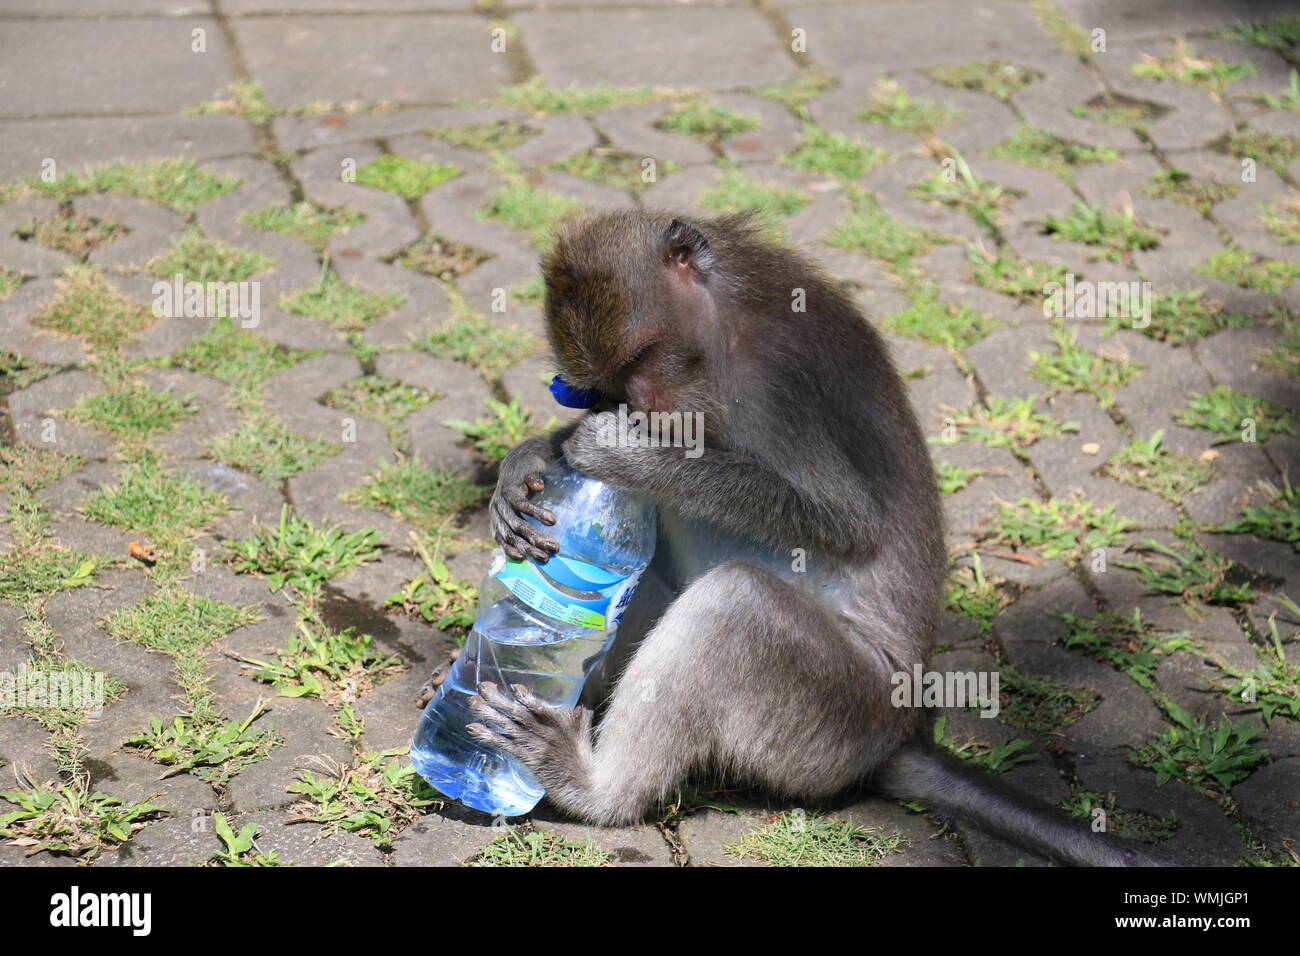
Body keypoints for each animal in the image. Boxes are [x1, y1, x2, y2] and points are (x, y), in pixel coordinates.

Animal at [461, 209, 1162, 867]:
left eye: (641, 359)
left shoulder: (782, 375)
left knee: (736, 604)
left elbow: (844, 520)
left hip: (836, 719)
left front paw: (622, 456)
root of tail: (900, 734)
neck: (722, 328)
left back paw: (594, 788)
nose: (635, 410)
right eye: (601, 386)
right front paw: (528, 463)